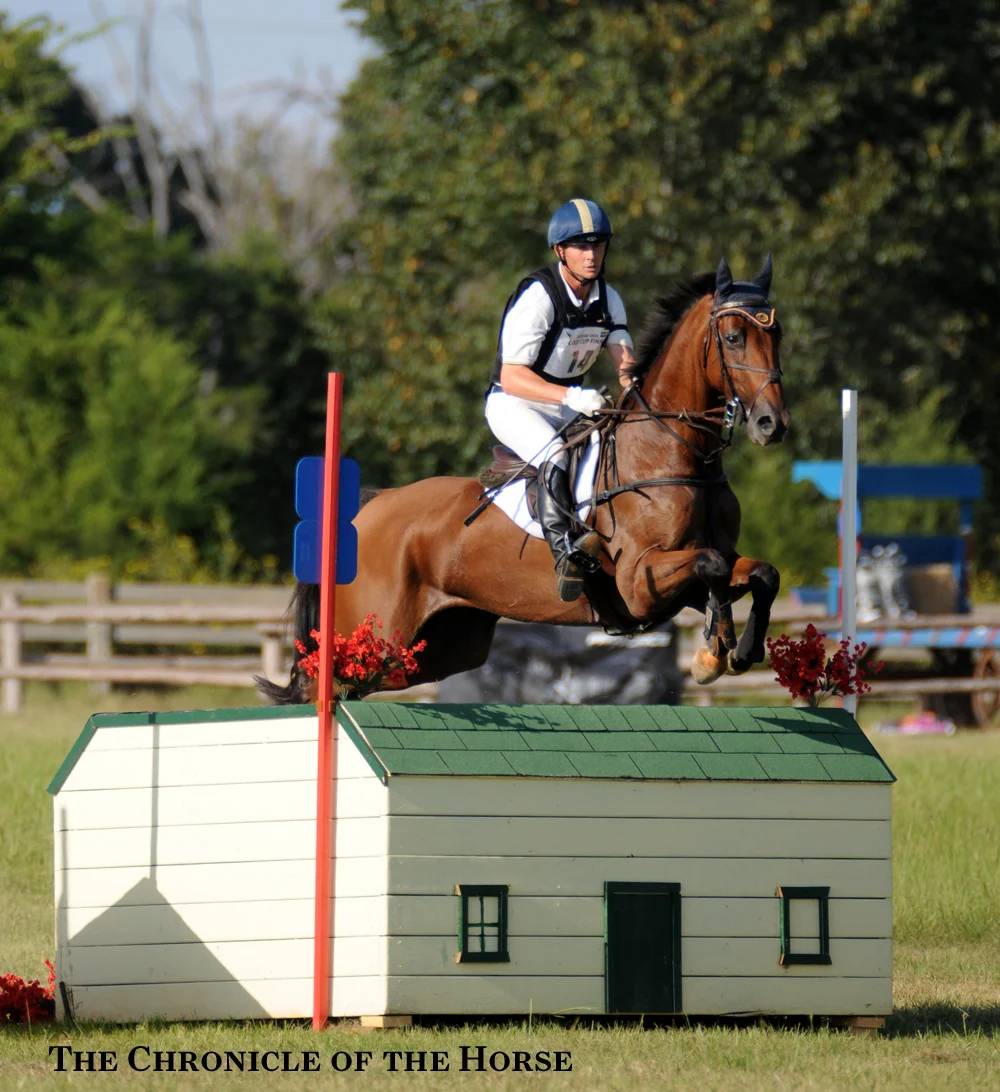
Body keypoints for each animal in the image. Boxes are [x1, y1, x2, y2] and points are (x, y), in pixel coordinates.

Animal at [258, 256, 790, 705]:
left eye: (777, 334)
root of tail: (372, 506)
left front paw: (733, 651)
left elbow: (759, 574)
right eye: (734, 338)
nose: (772, 424)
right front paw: (714, 652)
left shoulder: (688, 575)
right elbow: (712, 568)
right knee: (321, 681)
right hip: (375, 637)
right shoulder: (639, 581)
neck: (673, 451)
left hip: (432, 651)